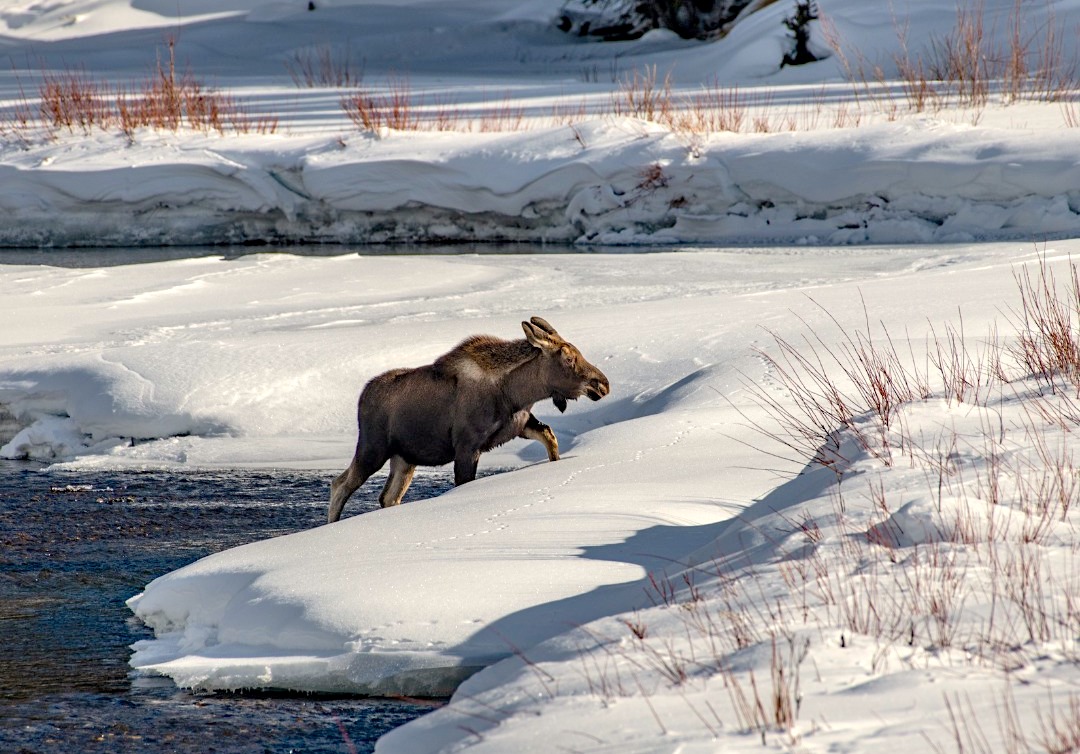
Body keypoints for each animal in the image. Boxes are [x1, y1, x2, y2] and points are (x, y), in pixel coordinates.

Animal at [328, 317, 610, 523]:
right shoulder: (467, 446)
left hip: (404, 458)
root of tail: (362, 396)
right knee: (340, 484)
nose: (603, 383)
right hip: (372, 448)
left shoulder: (520, 424)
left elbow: (550, 439)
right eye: (569, 357)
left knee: (388, 497)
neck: (516, 392)